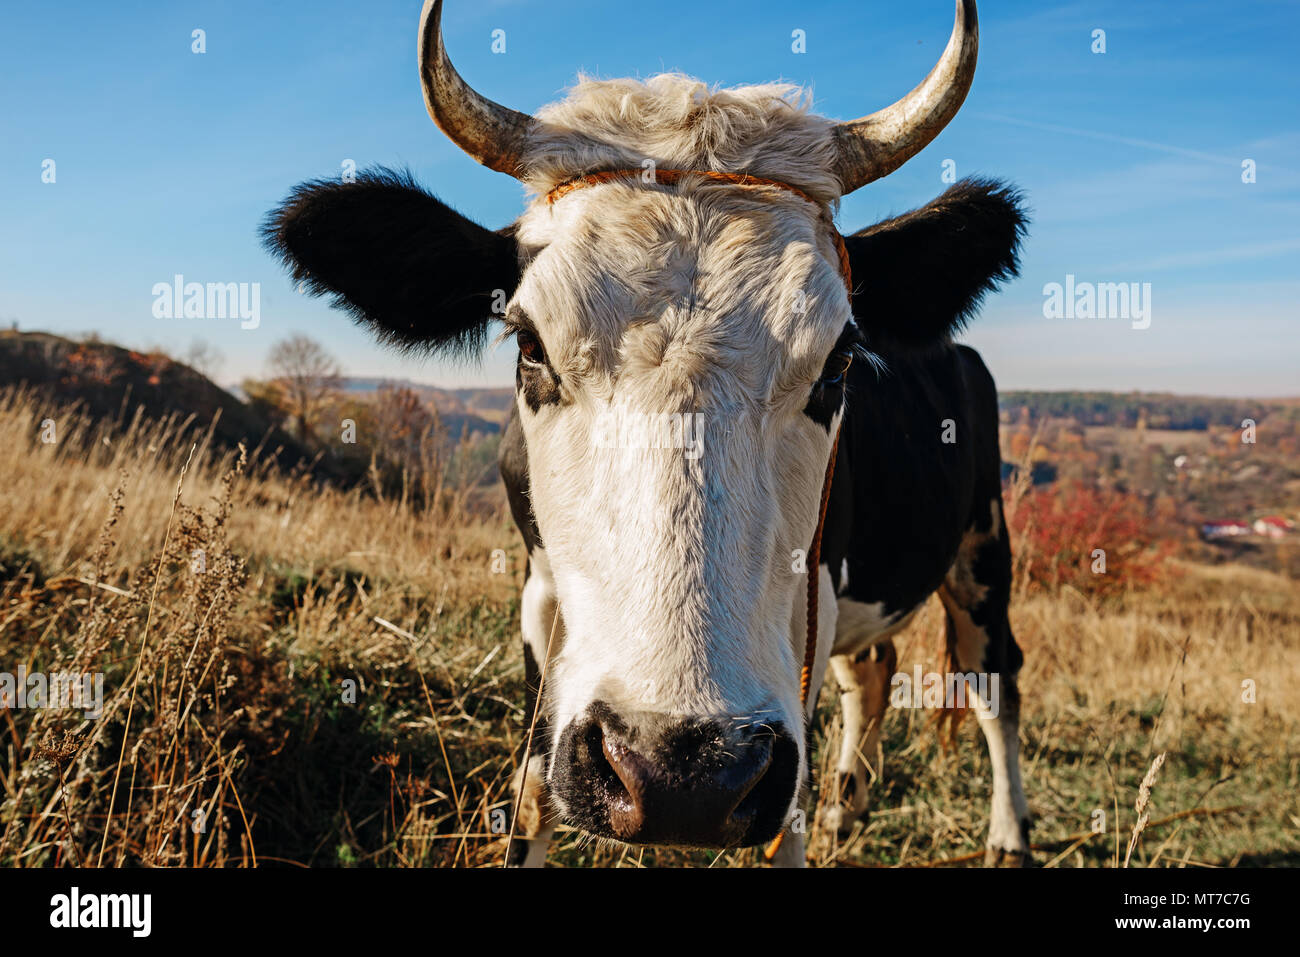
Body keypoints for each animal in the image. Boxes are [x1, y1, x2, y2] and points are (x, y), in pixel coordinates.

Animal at [263, 0, 1031, 867]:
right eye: (528, 342)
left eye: (839, 361)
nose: (681, 773)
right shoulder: (541, 599)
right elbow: (532, 795)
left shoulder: (807, 612)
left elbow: (788, 818)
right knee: (872, 669)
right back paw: (849, 804)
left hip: (982, 546)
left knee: (994, 678)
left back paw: (1007, 834)